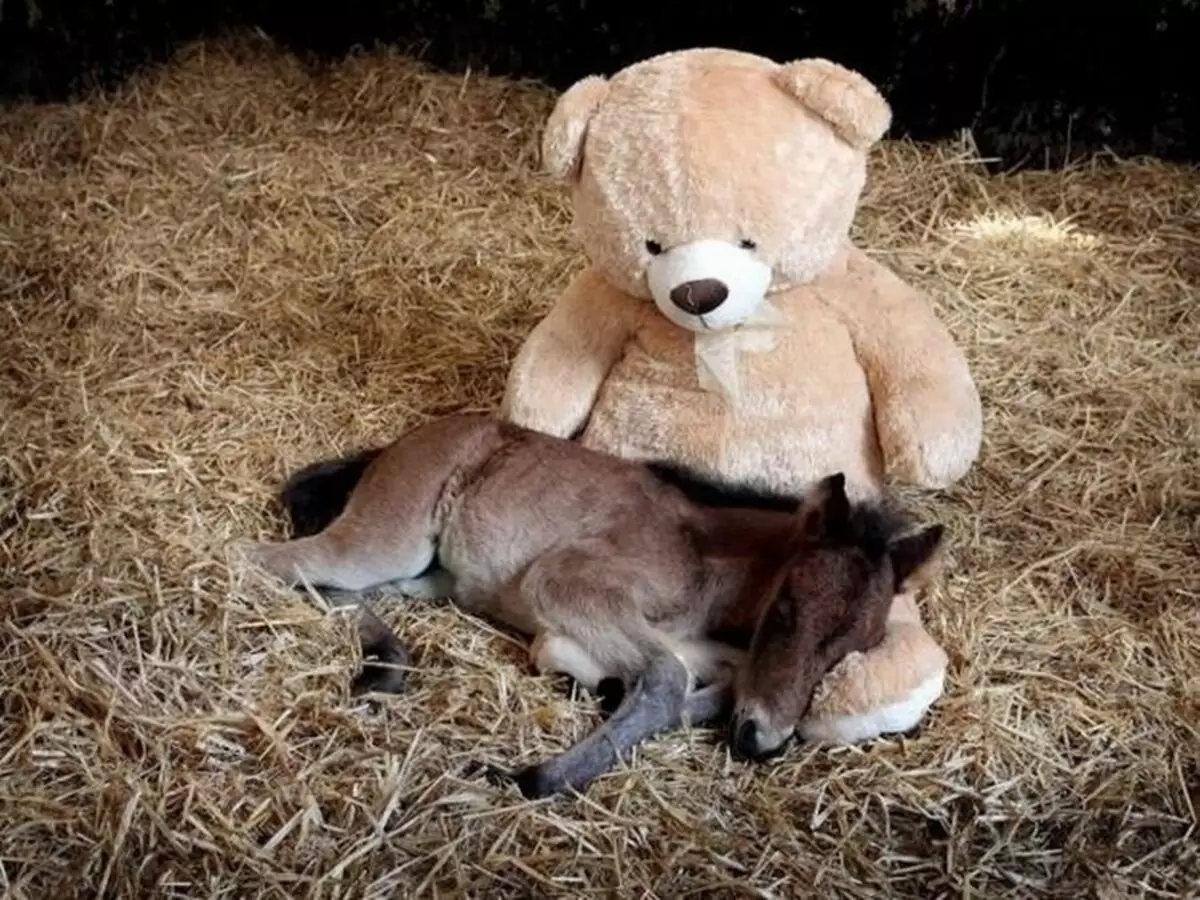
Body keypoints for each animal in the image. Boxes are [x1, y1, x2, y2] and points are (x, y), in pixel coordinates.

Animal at [236, 412, 945, 801]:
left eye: (851, 649)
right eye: (787, 610)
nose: (761, 743)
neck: (708, 559)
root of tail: (396, 445)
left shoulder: (694, 646)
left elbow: (708, 681)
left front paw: (600, 688)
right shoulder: (569, 581)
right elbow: (665, 679)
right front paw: (532, 777)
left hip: (426, 578)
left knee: (340, 592)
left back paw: (386, 663)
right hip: (387, 541)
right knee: (268, 561)